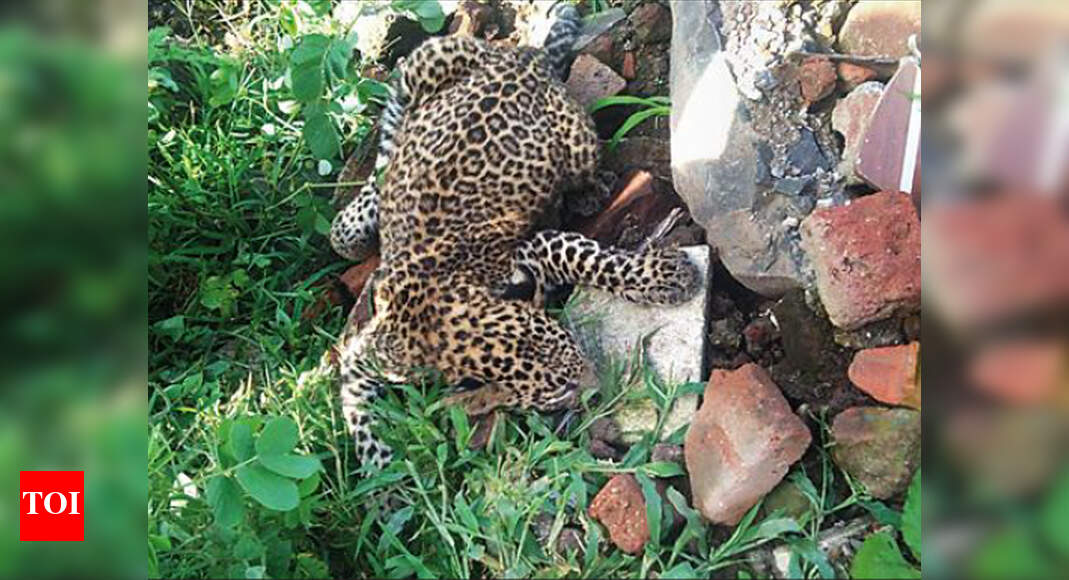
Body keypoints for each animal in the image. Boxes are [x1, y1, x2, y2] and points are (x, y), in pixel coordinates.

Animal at [328, 5, 700, 470]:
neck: (434, 317)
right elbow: (353, 393)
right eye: (559, 389)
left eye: (573, 347)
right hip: (425, 62)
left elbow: (590, 258)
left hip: (551, 125)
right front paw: (381, 461)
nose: (598, 389)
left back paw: (590, 192)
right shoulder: (373, 350)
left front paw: (669, 278)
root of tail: (521, 60)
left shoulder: (527, 249)